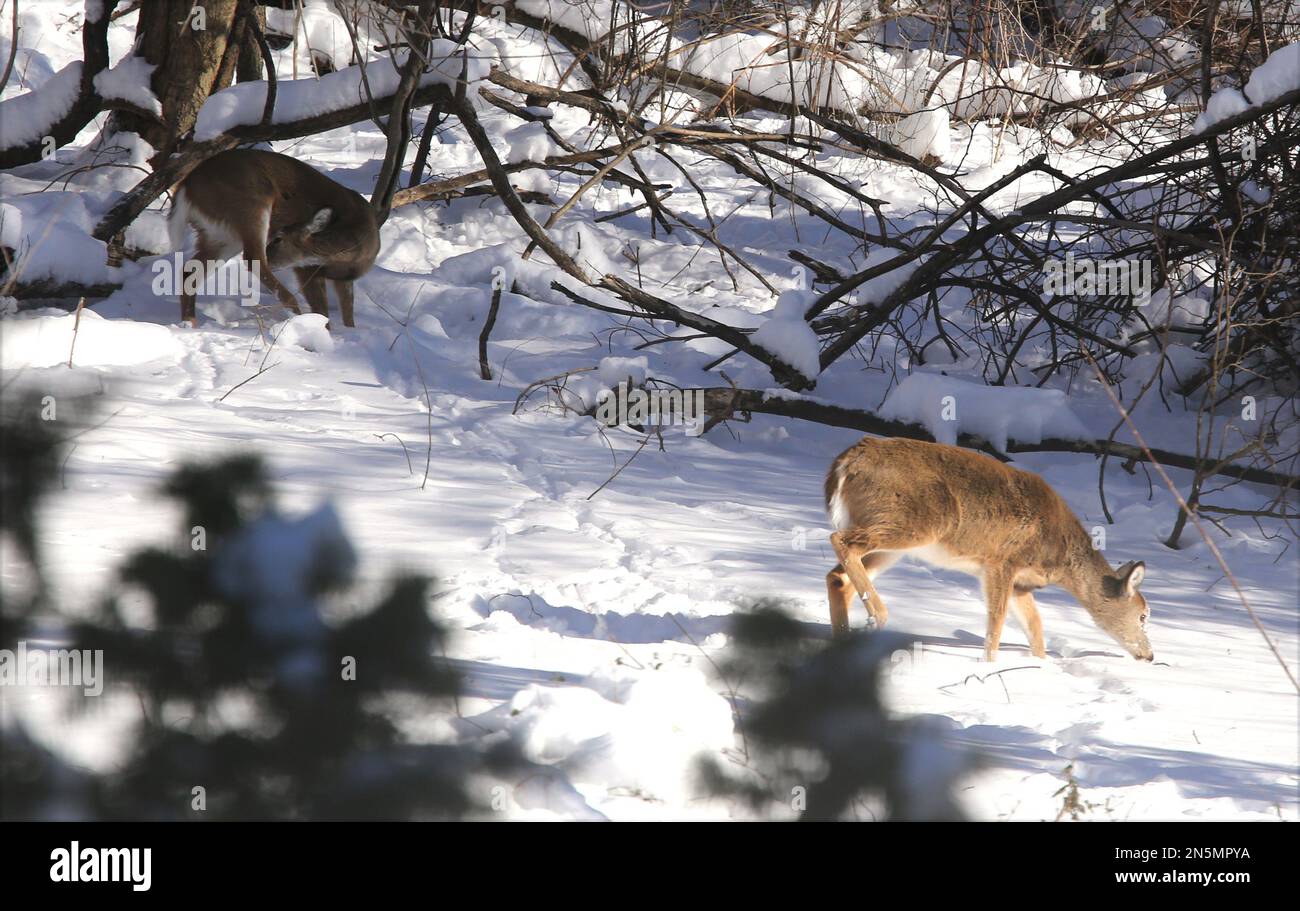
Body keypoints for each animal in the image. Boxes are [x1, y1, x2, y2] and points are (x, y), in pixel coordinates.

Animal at [169, 149, 379, 328]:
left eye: (278, 239)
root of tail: (186, 186)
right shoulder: (307, 270)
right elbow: (322, 310)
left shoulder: (345, 280)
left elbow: (349, 316)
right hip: (252, 205)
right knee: (253, 259)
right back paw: (294, 316)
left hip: (221, 235)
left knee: (189, 270)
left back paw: (189, 323)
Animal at [824, 437, 1153, 662]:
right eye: (1143, 615)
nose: (1149, 655)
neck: (1061, 560)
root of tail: (846, 461)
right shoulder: (1001, 562)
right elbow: (997, 619)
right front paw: (989, 664)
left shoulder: (1021, 583)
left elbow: (1035, 626)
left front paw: (1041, 667)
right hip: (915, 521)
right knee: (840, 540)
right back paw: (878, 616)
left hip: (890, 541)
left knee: (838, 577)